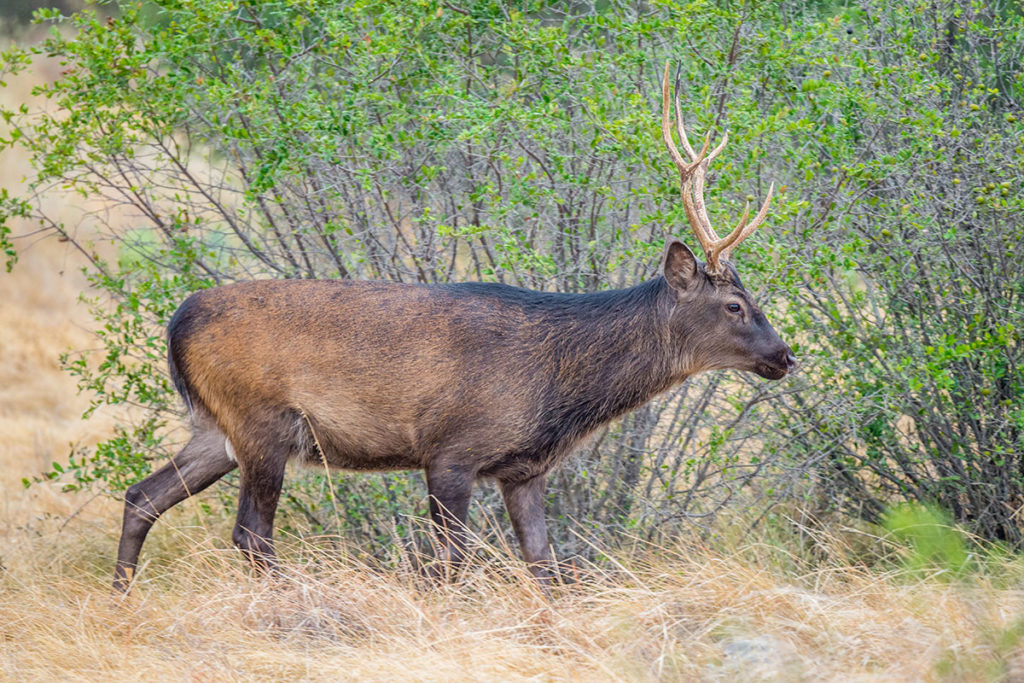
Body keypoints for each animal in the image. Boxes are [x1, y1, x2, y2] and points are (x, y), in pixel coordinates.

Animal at [112, 63, 795, 593]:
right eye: (735, 305)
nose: (786, 356)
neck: (558, 386)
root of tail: (177, 323)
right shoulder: (450, 449)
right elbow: (450, 564)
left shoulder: (523, 470)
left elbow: (545, 567)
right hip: (262, 421)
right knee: (251, 534)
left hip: (215, 427)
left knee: (141, 496)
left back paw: (121, 598)